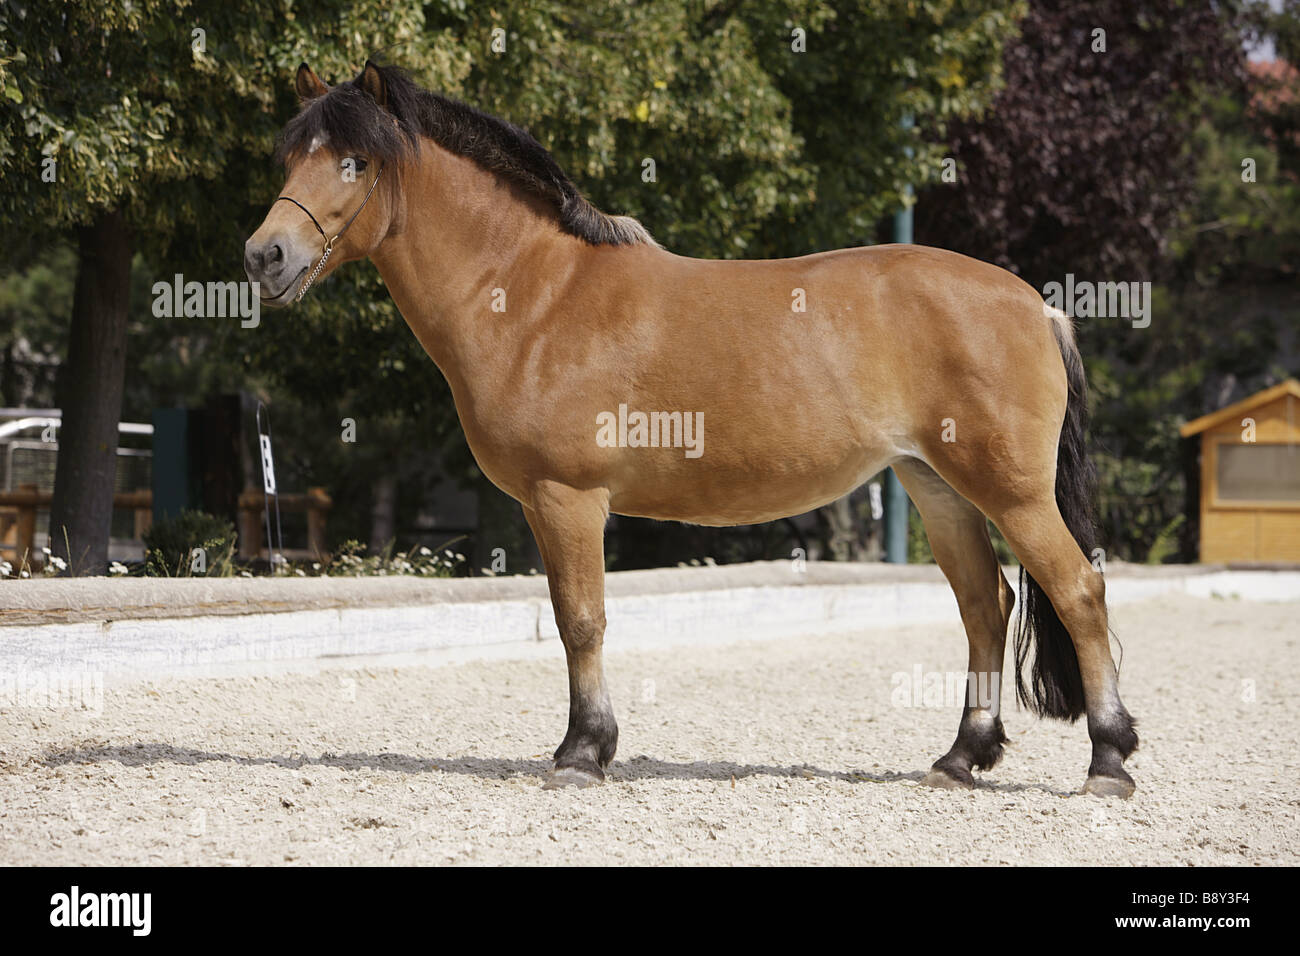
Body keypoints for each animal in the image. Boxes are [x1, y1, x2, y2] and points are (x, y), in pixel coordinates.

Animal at [244, 61, 1139, 797]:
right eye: (291, 158)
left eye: (356, 161)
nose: (264, 257)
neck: (534, 294)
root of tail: (1037, 305)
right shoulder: (547, 504)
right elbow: (574, 619)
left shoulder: (568, 498)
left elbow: (581, 621)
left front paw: (583, 752)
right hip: (938, 487)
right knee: (985, 604)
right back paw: (960, 757)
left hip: (1010, 491)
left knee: (1078, 591)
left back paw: (1108, 761)